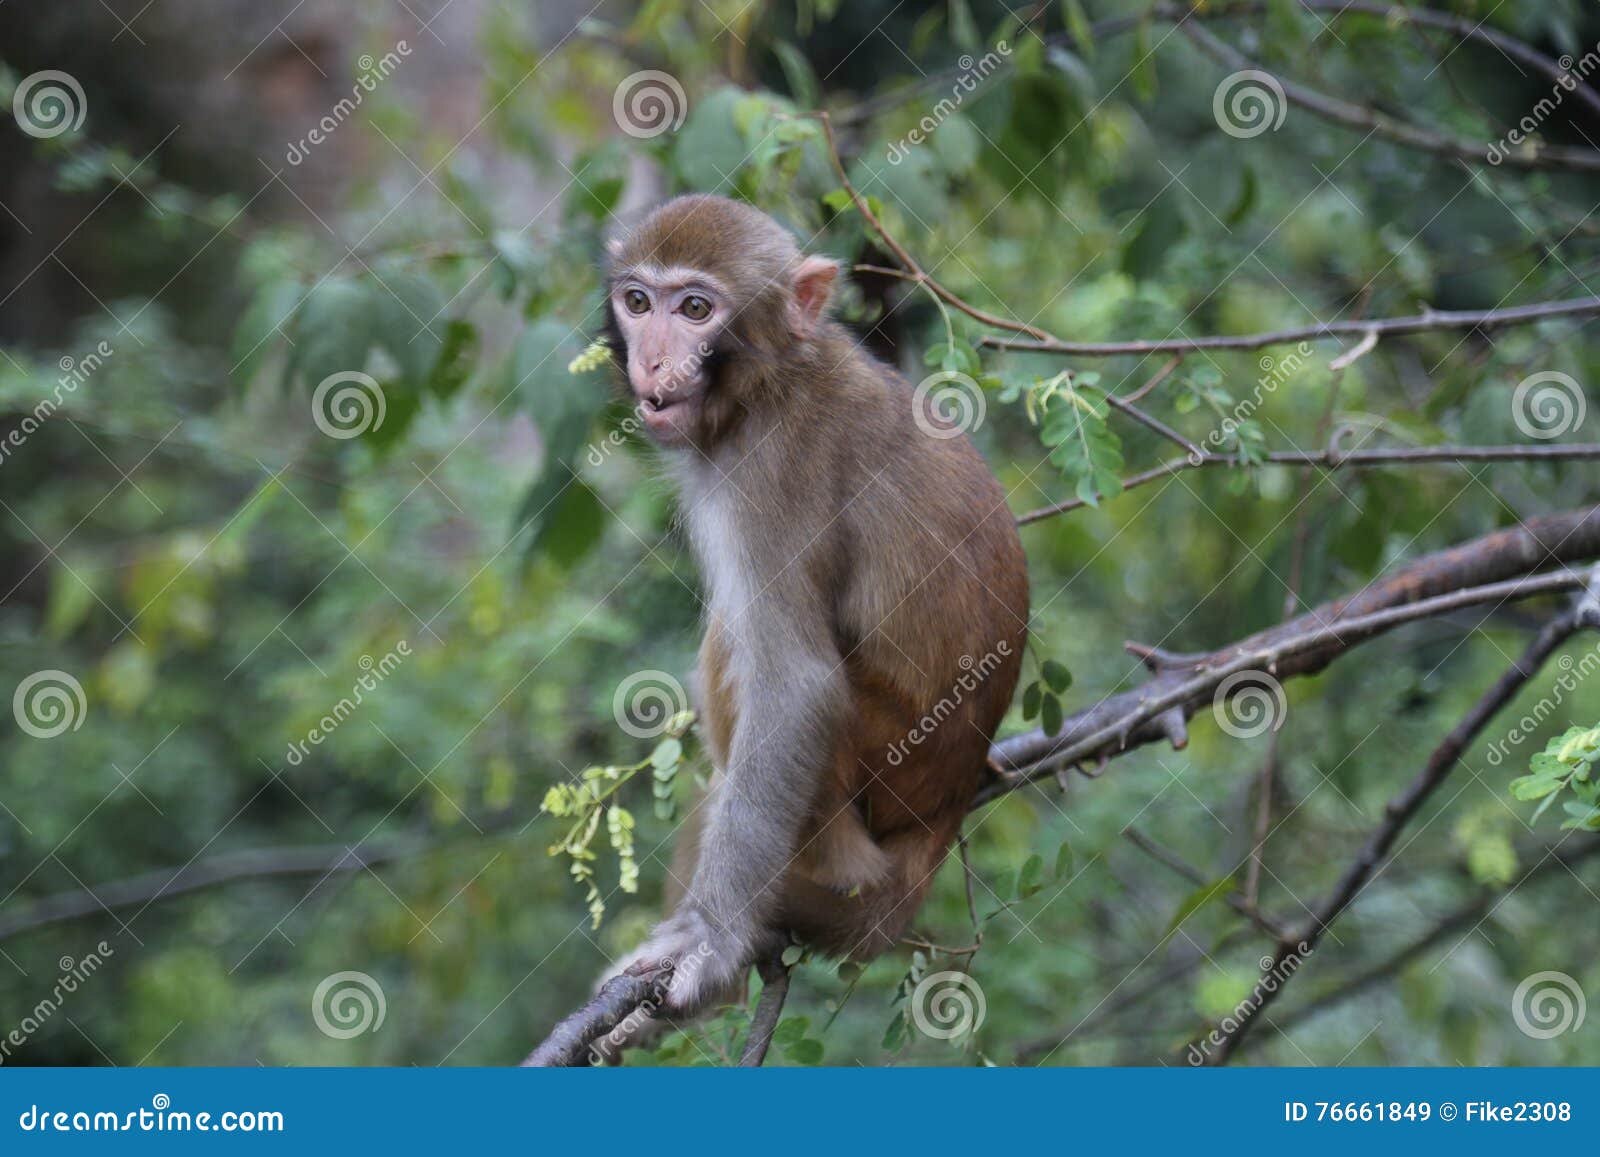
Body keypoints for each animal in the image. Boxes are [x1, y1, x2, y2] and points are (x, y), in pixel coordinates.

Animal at [597, 194, 1028, 1042]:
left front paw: (710, 940)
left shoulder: (771, 476)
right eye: (638, 302)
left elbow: (795, 683)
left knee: (734, 642)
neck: (769, 381)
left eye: (696, 309)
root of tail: (946, 802)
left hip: (883, 753)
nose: (652, 362)